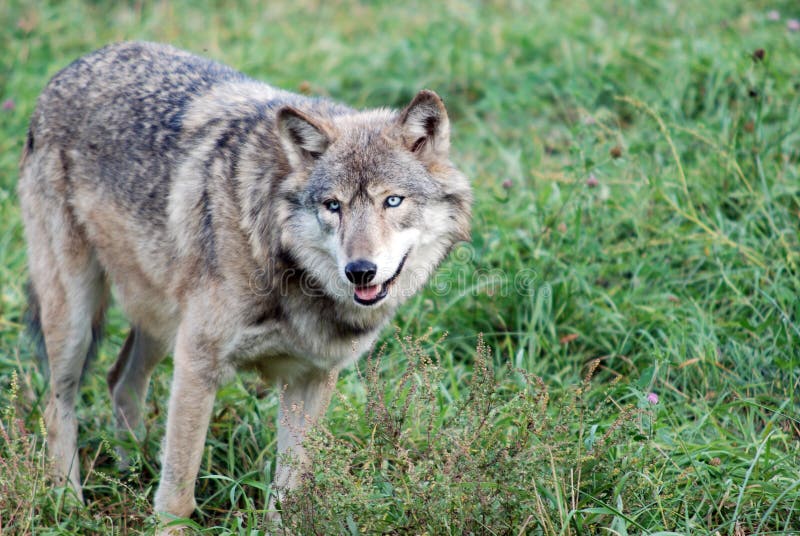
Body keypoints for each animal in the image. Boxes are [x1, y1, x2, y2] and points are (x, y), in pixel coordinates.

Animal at [18, 41, 471, 529]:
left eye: (393, 201)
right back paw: (69, 503)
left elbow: (289, 495)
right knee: (57, 406)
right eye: (333, 206)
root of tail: (76, 64)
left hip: (161, 323)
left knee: (120, 379)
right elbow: (178, 496)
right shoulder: (198, 363)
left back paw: (132, 473)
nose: (360, 270)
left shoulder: (310, 379)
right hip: (77, 322)